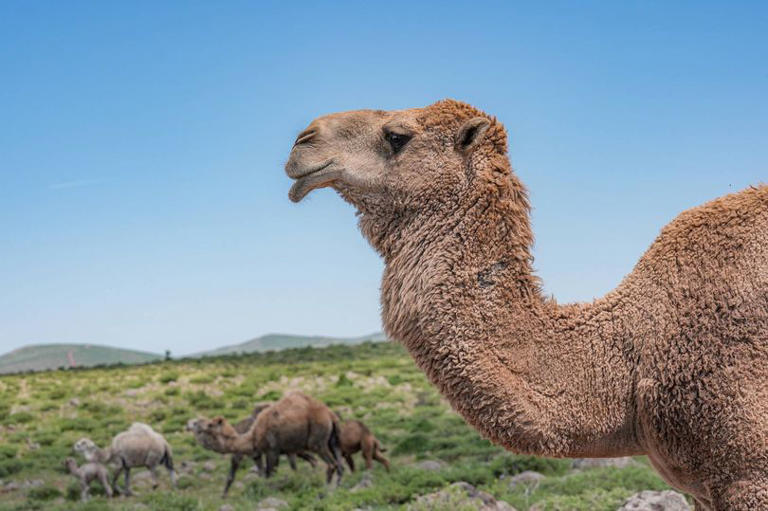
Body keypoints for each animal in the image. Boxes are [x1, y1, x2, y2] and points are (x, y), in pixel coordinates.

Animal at [187, 404, 317, 497]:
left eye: (207, 424)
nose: (187, 425)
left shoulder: (247, 453)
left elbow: (233, 475)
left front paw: (223, 496)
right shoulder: (255, 454)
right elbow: (262, 473)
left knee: (305, 461)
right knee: (307, 461)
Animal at [204, 392, 344, 486]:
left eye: (210, 425)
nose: (201, 427)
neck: (254, 434)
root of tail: (330, 414)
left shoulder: (273, 450)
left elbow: (270, 473)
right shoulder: (281, 450)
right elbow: (275, 471)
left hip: (317, 440)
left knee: (332, 464)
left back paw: (324, 490)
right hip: (333, 441)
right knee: (340, 465)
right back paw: (336, 487)